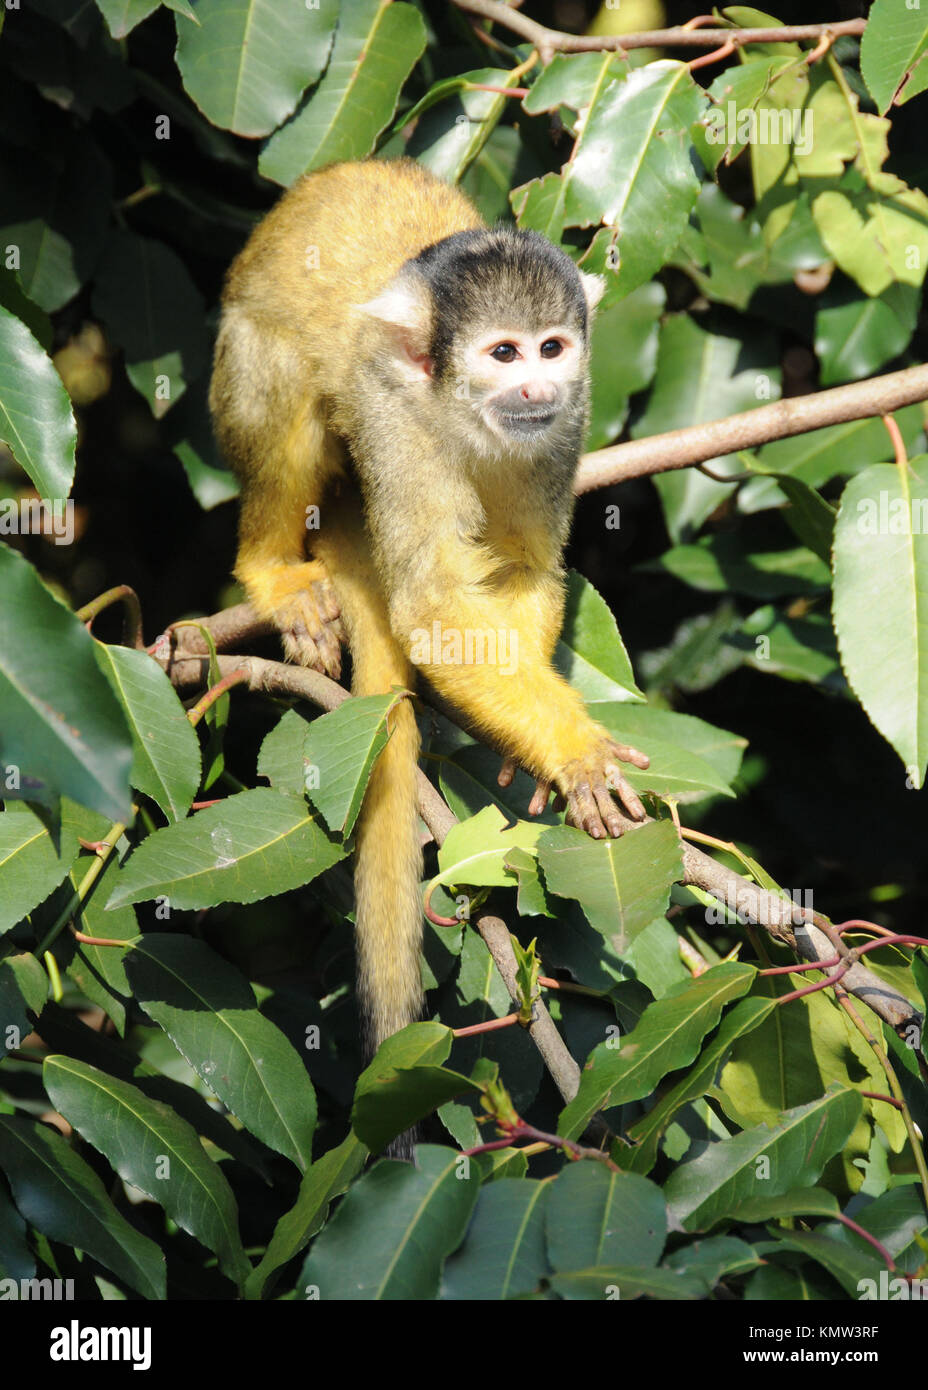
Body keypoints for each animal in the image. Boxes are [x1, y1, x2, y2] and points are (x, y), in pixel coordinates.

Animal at [209, 158, 649, 1153]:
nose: (534, 387)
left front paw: (530, 757)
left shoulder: (570, 420)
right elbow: (435, 606)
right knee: (282, 388)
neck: (461, 411)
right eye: (502, 355)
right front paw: (573, 750)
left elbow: (520, 568)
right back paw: (273, 569)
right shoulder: (393, 413)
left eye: (552, 348)